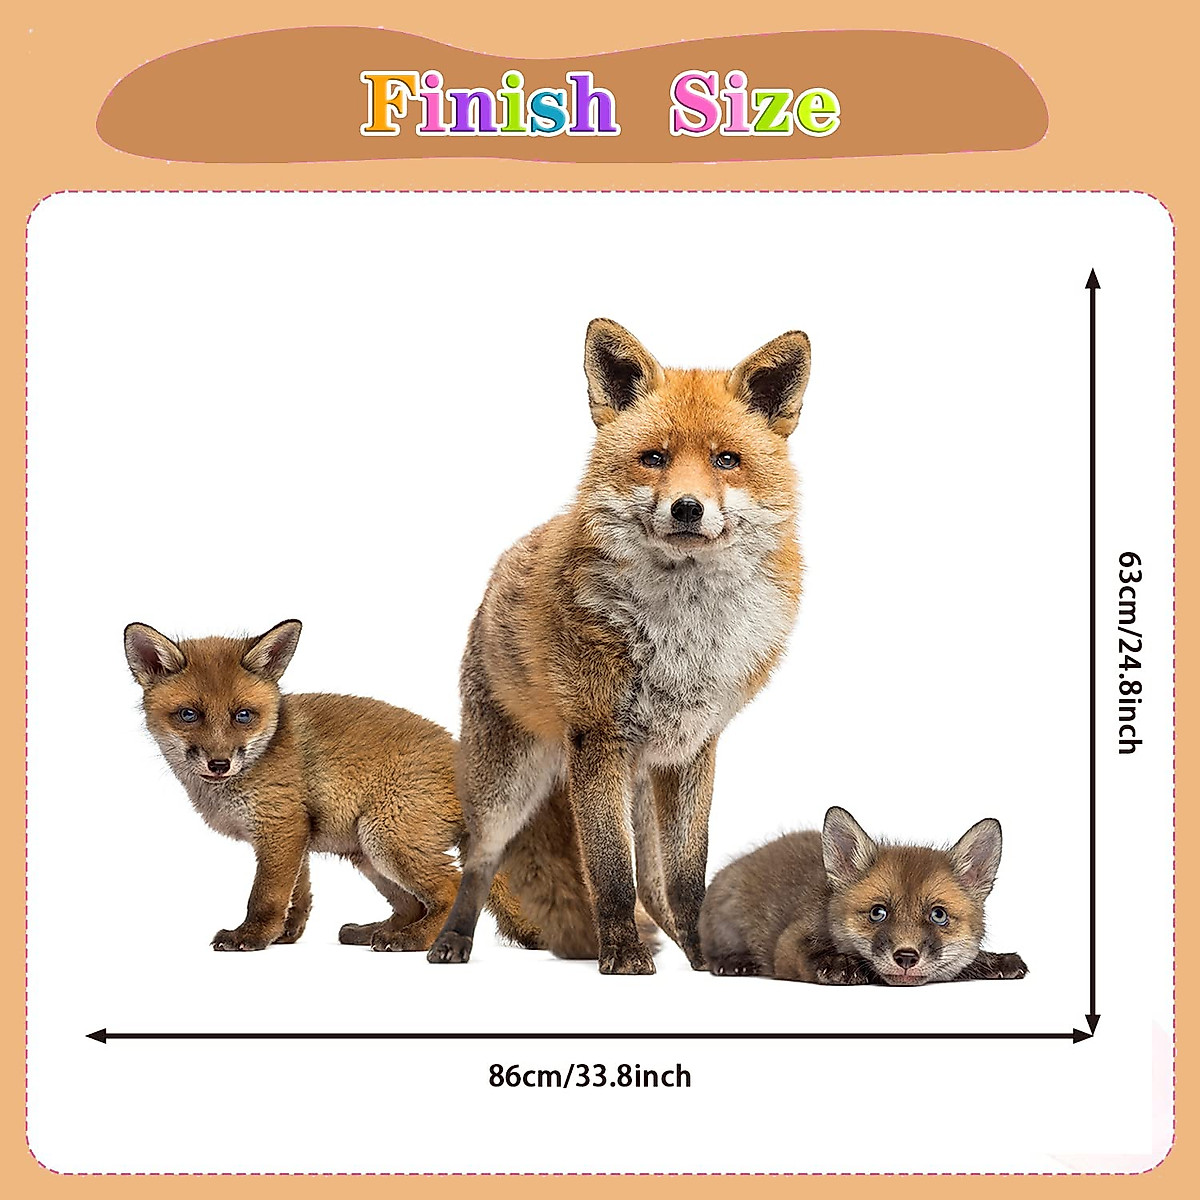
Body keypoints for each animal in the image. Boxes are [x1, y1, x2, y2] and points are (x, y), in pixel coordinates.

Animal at [124, 619, 535, 952]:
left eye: (242, 715)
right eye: (188, 715)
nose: (220, 764)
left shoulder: (281, 828)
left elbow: (266, 896)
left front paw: (252, 937)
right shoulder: (297, 834)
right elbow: (298, 894)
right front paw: (285, 935)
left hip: (385, 838)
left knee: (448, 890)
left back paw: (414, 939)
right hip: (367, 854)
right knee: (413, 904)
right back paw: (375, 931)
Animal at [427, 318, 810, 974]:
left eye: (726, 461)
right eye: (653, 459)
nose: (688, 507)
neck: (685, 635)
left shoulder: (691, 749)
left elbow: (686, 877)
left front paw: (709, 952)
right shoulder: (598, 740)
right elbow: (609, 874)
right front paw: (622, 955)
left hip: (639, 784)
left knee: (653, 886)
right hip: (510, 782)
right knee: (479, 861)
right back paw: (453, 940)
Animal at [698, 806, 1028, 984]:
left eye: (938, 915)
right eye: (877, 913)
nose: (906, 957)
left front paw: (997, 961)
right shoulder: (788, 945)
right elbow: (810, 955)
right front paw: (840, 965)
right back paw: (733, 961)